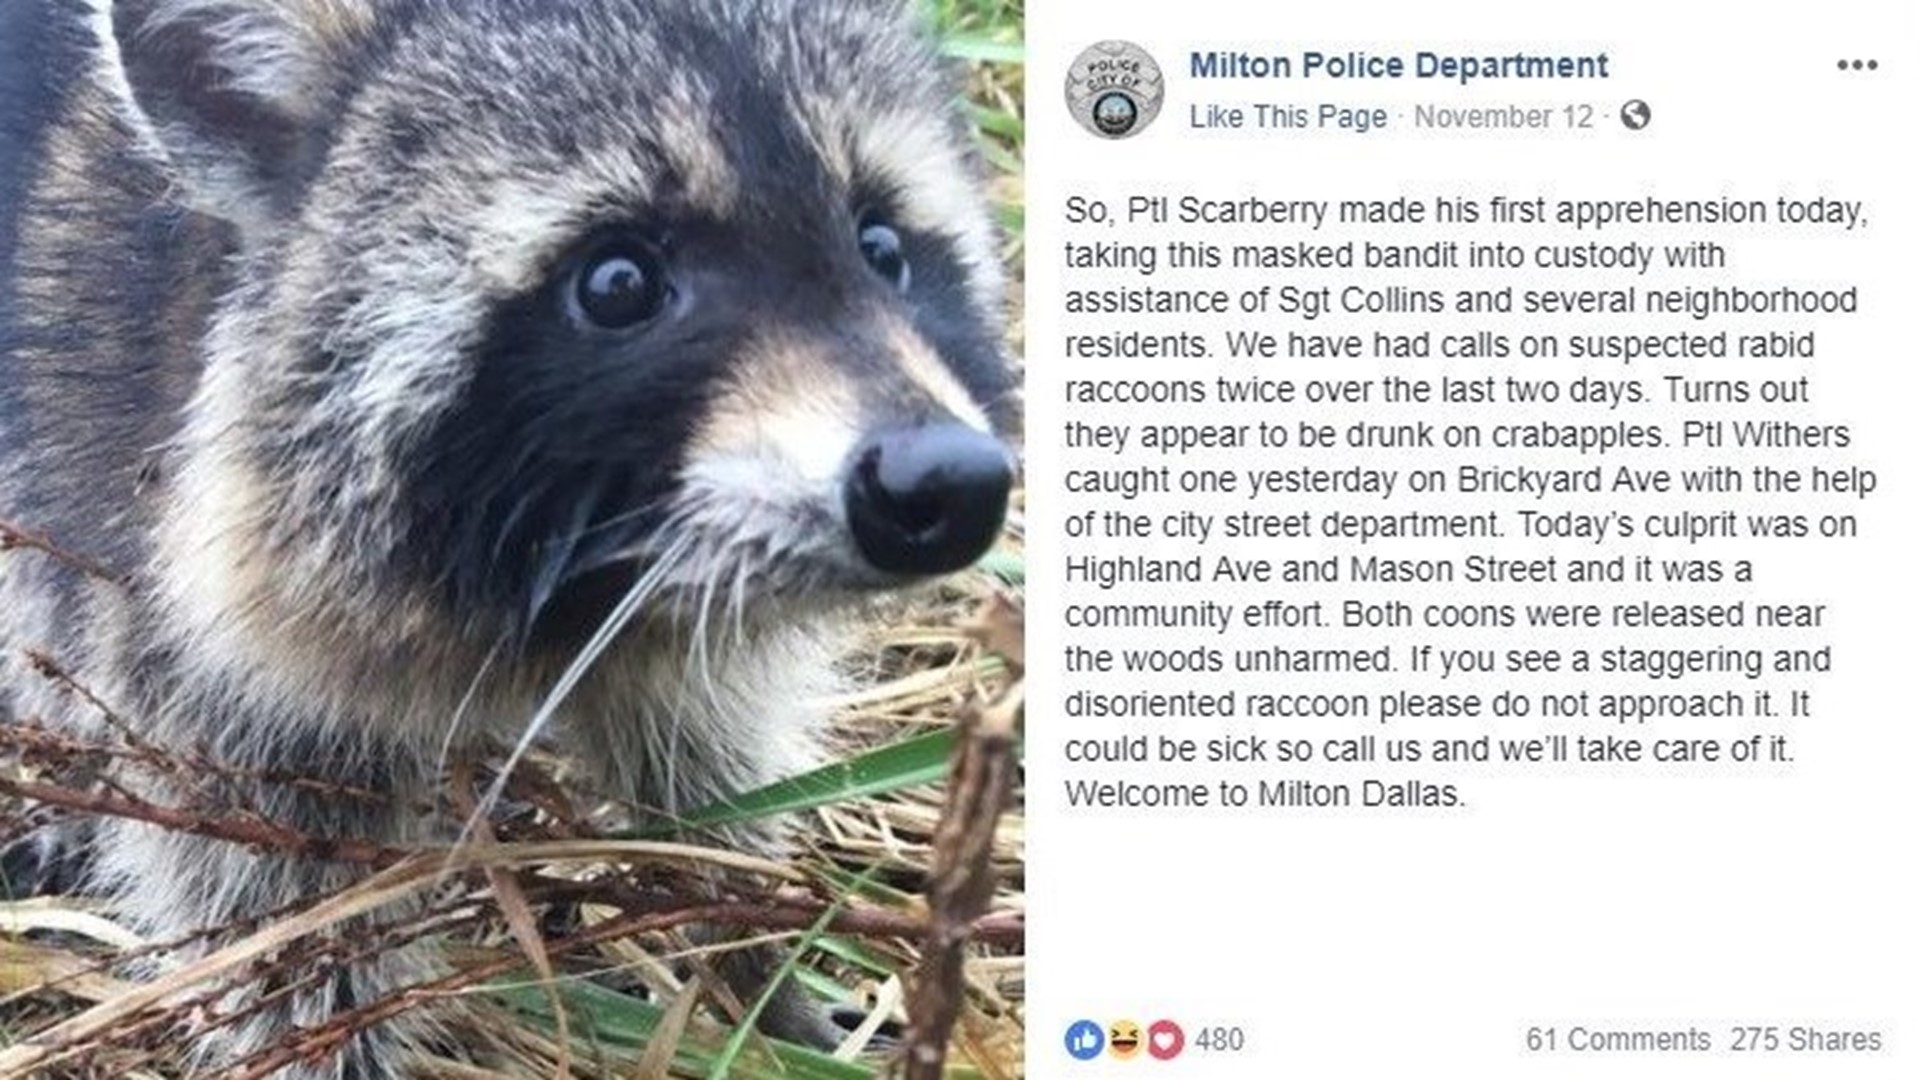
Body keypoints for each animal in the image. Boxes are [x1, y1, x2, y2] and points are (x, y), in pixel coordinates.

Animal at [0, 0, 1017, 1074]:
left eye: (883, 246)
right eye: (617, 282)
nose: (946, 480)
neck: (586, 578)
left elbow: (702, 764)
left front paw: (758, 968)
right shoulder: (168, 589)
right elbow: (271, 900)